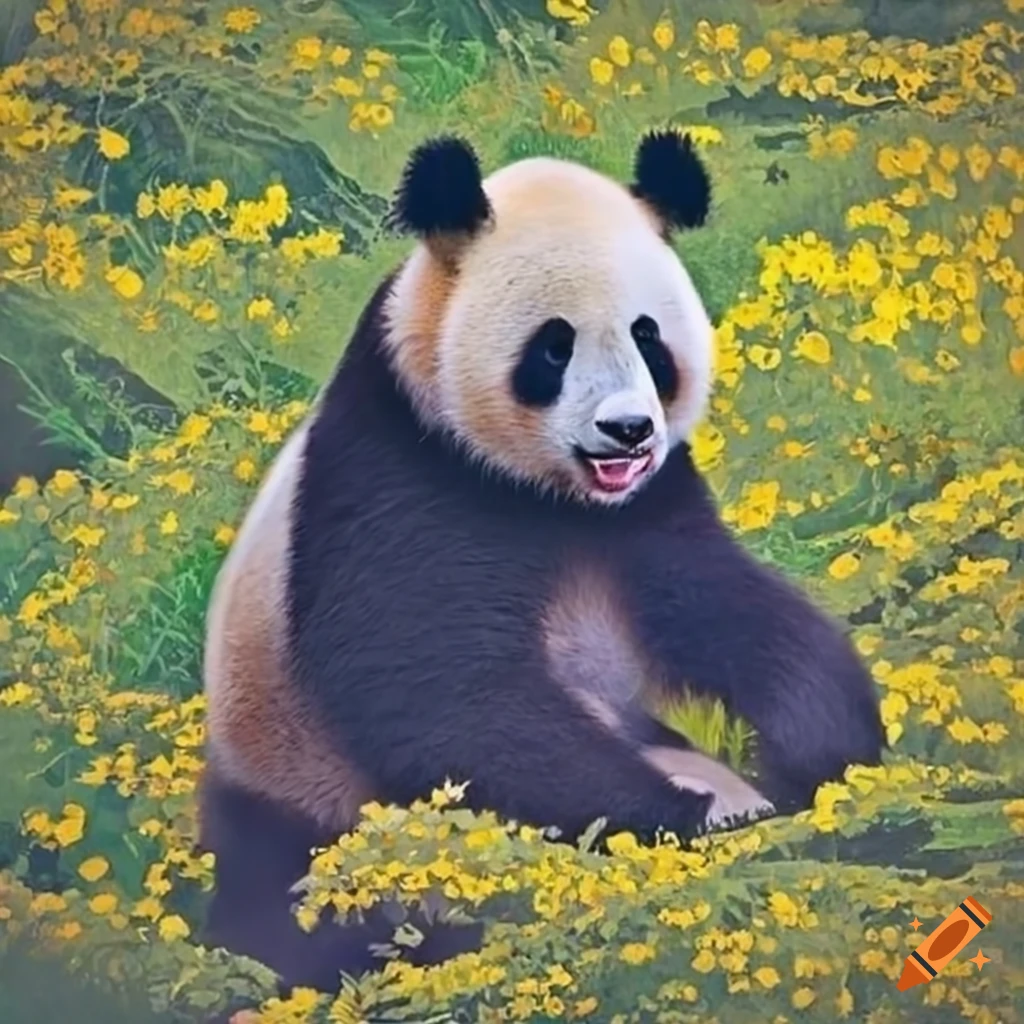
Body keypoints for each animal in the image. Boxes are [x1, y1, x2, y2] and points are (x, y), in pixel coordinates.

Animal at [198, 130, 884, 993]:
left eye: (648, 337)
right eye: (554, 347)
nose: (627, 430)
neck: (554, 497)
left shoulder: (653, 499)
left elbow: (721, 604)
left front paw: (820, 753)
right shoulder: (399, 468)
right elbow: (436, 691)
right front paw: (685, 816)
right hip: (299, 783)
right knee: (288, 908)